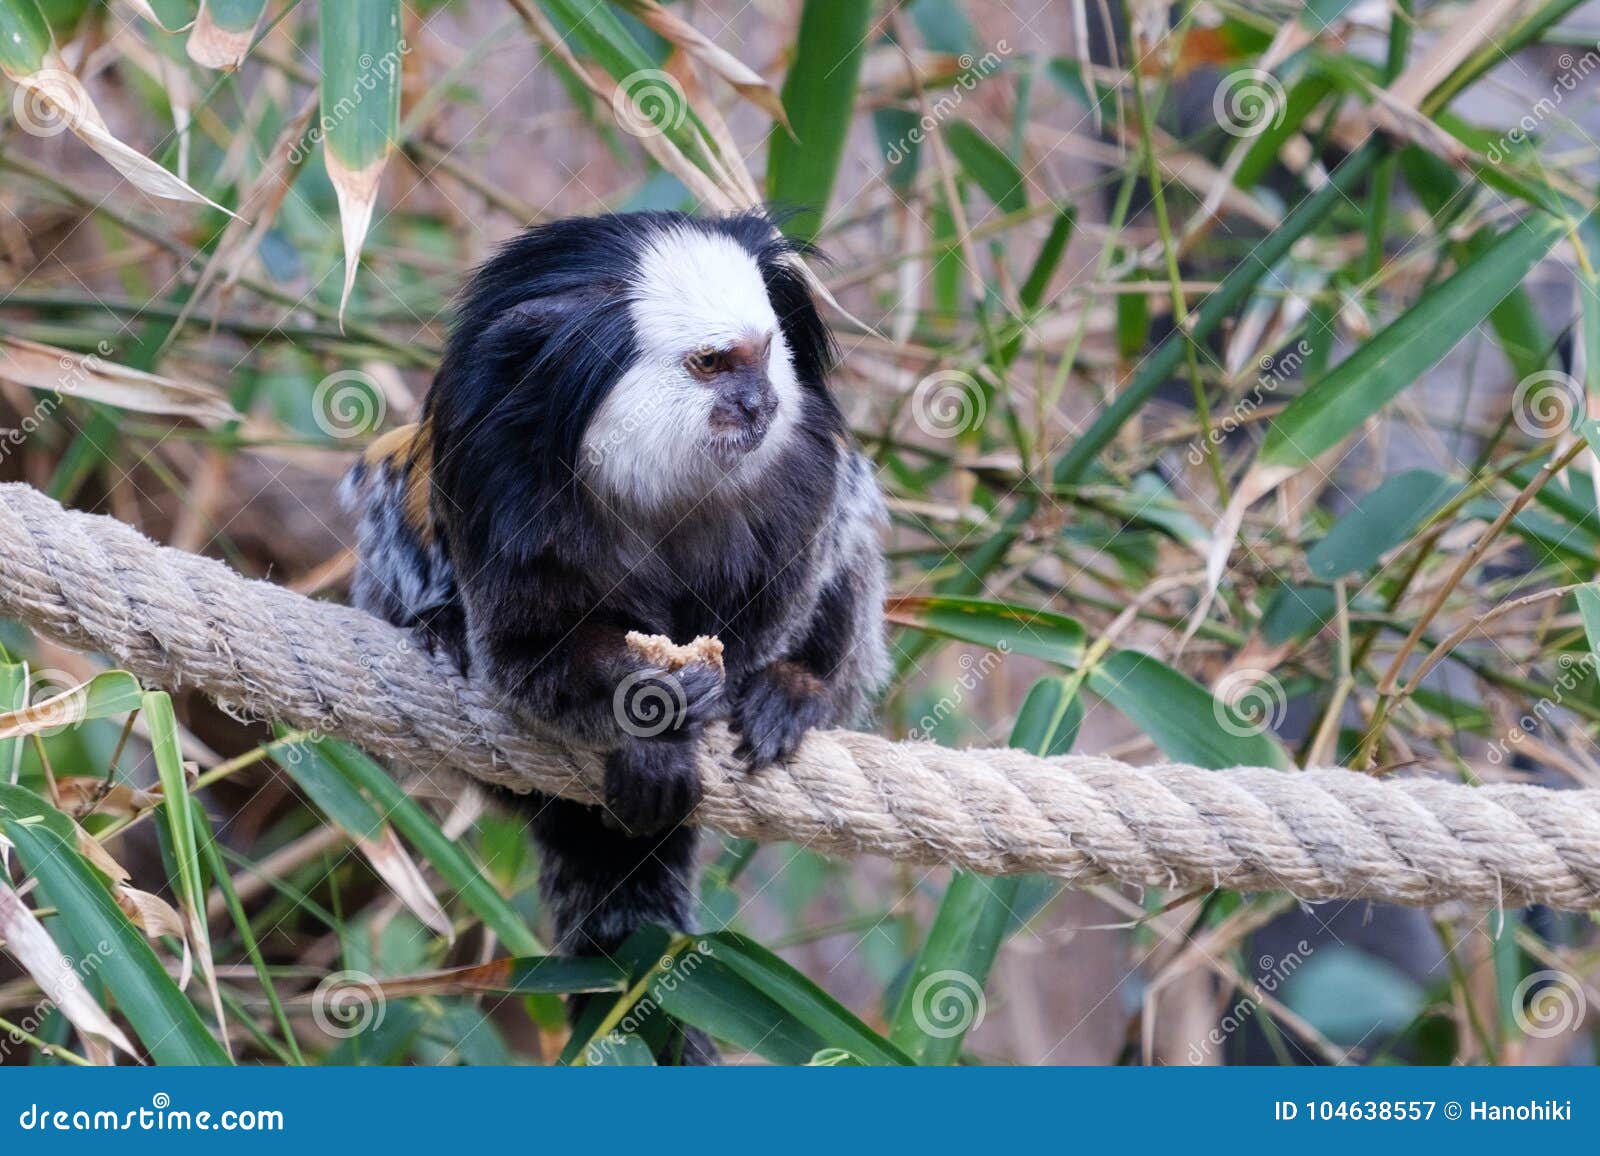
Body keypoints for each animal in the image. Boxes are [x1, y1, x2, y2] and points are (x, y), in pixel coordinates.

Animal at [340, 210, 889, 1064]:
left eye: (765, 353)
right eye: (711, 364)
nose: (761, 402)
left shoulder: (801, 473)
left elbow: (781, 601)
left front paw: (750, 692)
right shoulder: (506, 469)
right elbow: (524, 654)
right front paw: (650, 721)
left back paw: (801, 691)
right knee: (397, 486)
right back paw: (441, 632)